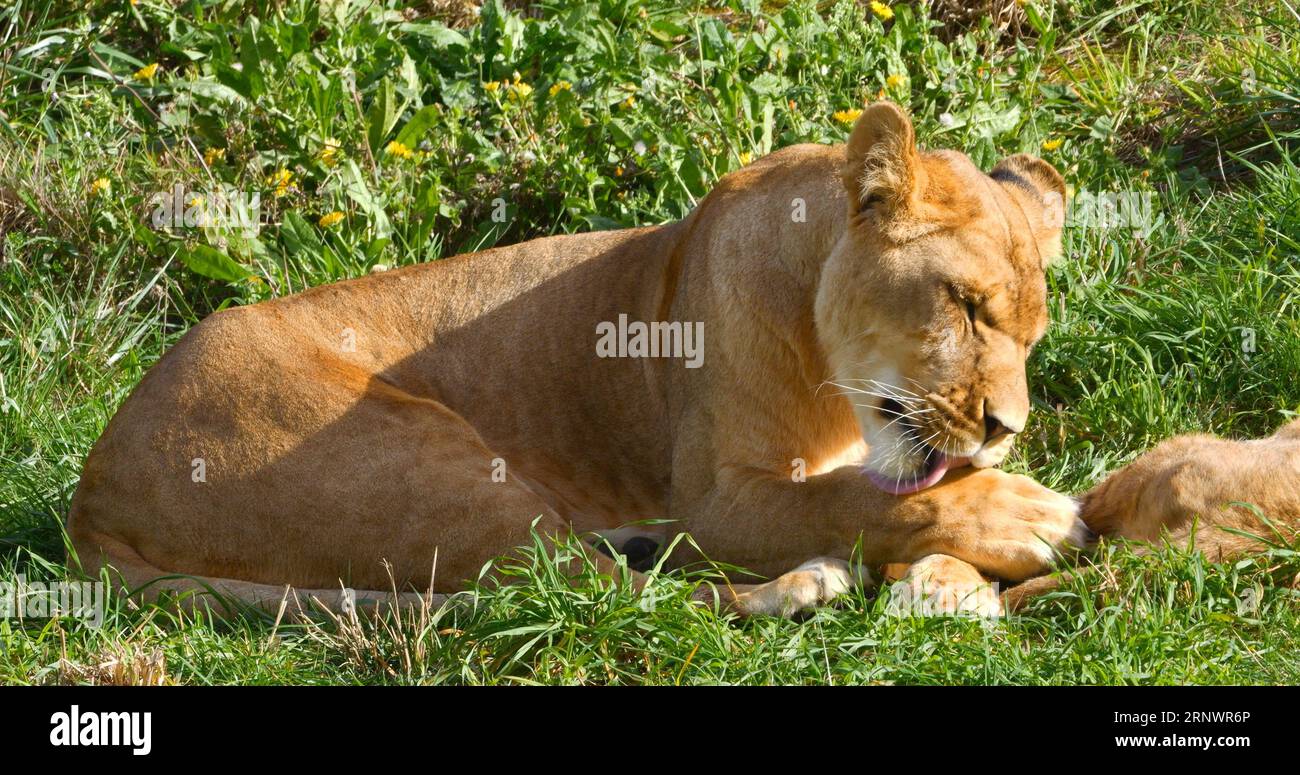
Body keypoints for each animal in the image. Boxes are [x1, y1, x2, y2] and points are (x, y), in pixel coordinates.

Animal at [67, 102, 1091, 618]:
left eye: (1032, 338)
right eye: (963, 304)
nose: (1004, 429)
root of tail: (93, 483)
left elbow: (889, 496)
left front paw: (961, 567)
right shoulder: (719, 497)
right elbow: (853, 502)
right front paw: (1021, 514)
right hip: (433, 464)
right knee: (591, 593)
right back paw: (797, 586)